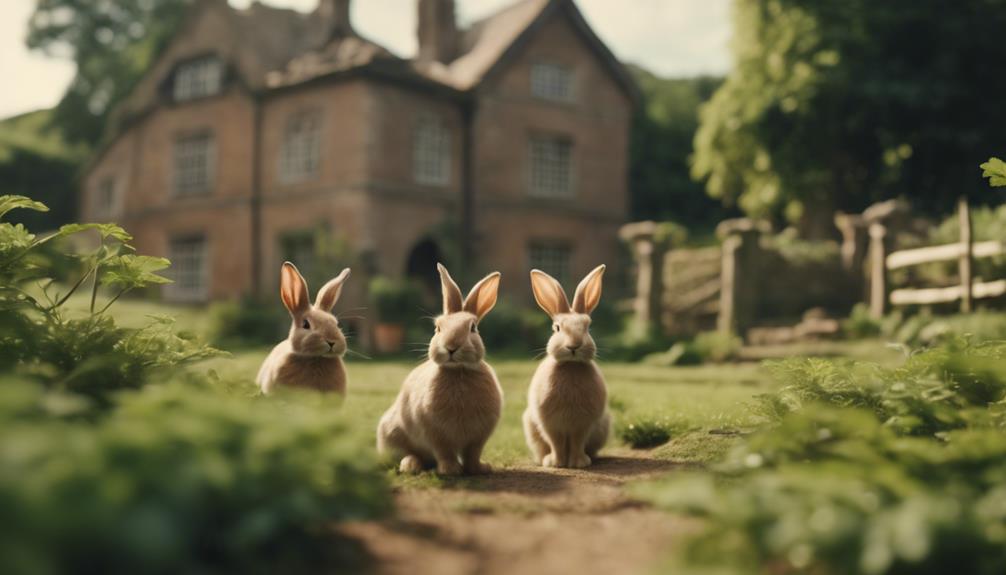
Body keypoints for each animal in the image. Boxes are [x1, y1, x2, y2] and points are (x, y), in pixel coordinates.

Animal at [377, 263, 503, 476]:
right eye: (437, 328)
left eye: (473, 328)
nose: (451, 346)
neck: (458, 371)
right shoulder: (435, 433)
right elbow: (444, 451)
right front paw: (450, 470)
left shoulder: (478, 437)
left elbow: (473, 454)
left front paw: (480, 468)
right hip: (393, 433)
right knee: (407, 453)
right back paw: (411, 465)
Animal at [522, 265, 611, 469]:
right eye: (557, 328)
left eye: (587, 327)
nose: (573, 346)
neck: (571, 365)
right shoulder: (550, 423)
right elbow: (555, 442)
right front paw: (555, 463)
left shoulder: (583, 424)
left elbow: (578, 442)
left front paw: (579, 464)